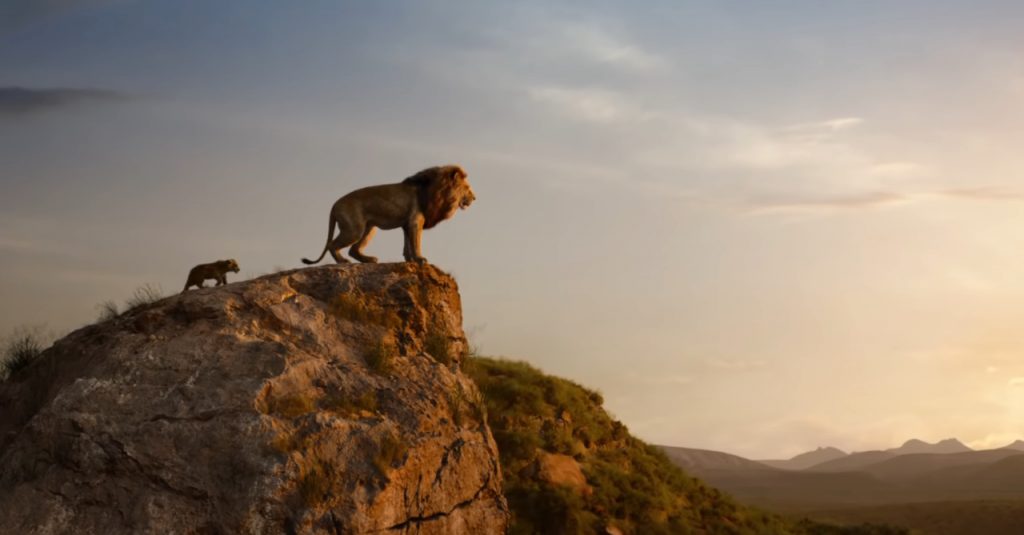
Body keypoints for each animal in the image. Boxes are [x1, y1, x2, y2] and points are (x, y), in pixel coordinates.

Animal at [301, 164, 475, 265]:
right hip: (354, 229)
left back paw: (369, 260)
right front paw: (420, 259)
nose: (475, 198)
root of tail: (334, 205)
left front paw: (410, 260)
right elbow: (416, 243)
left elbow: (408, 244)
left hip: (369, 228)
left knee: (353, 249)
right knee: (333, 245)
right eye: (467, 188)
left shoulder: (407, 224)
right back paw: (343, 261)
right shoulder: (415, 221)